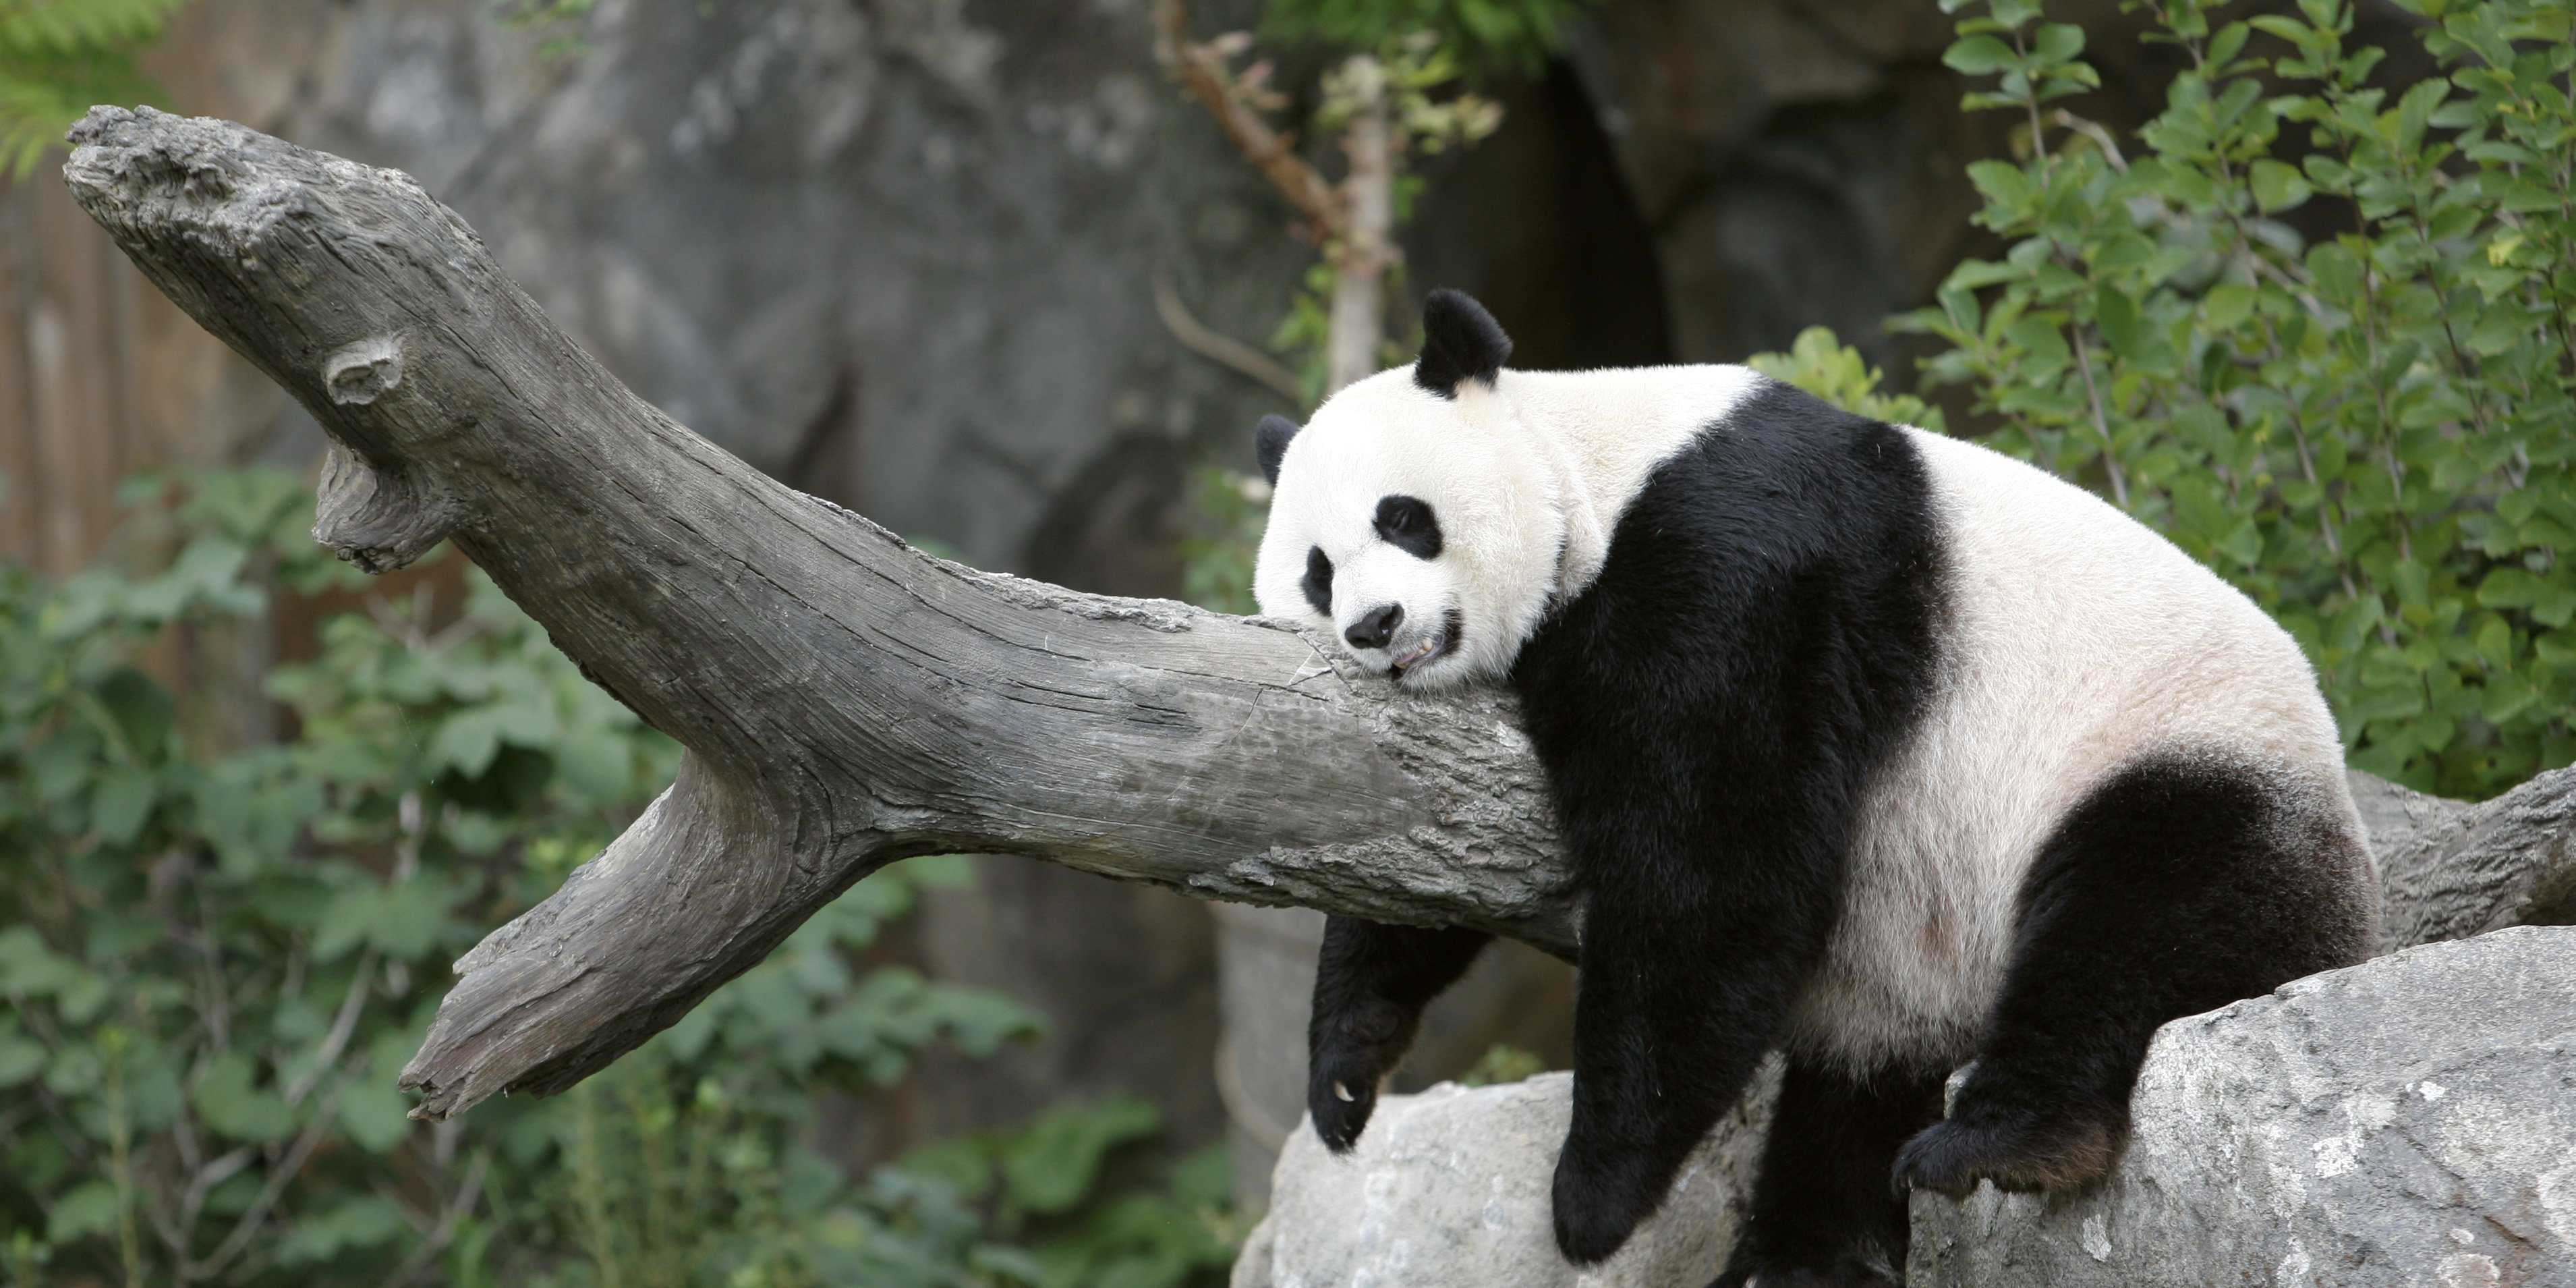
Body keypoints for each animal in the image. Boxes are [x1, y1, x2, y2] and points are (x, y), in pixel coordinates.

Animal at [1248, 289, 2379, 1285]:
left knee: (2136, 917)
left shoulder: (1730, 561)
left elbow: (1709, 867)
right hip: (1901, 970)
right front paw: (1345, 1071)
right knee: (1854, 1089)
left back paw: (2001, 1141)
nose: (1374, 627)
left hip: (2176, 756)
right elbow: (1418, 852)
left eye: (1404, 518)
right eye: (1316, 570)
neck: (1594, 466)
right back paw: (1798, 1255)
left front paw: (1591, 1199)